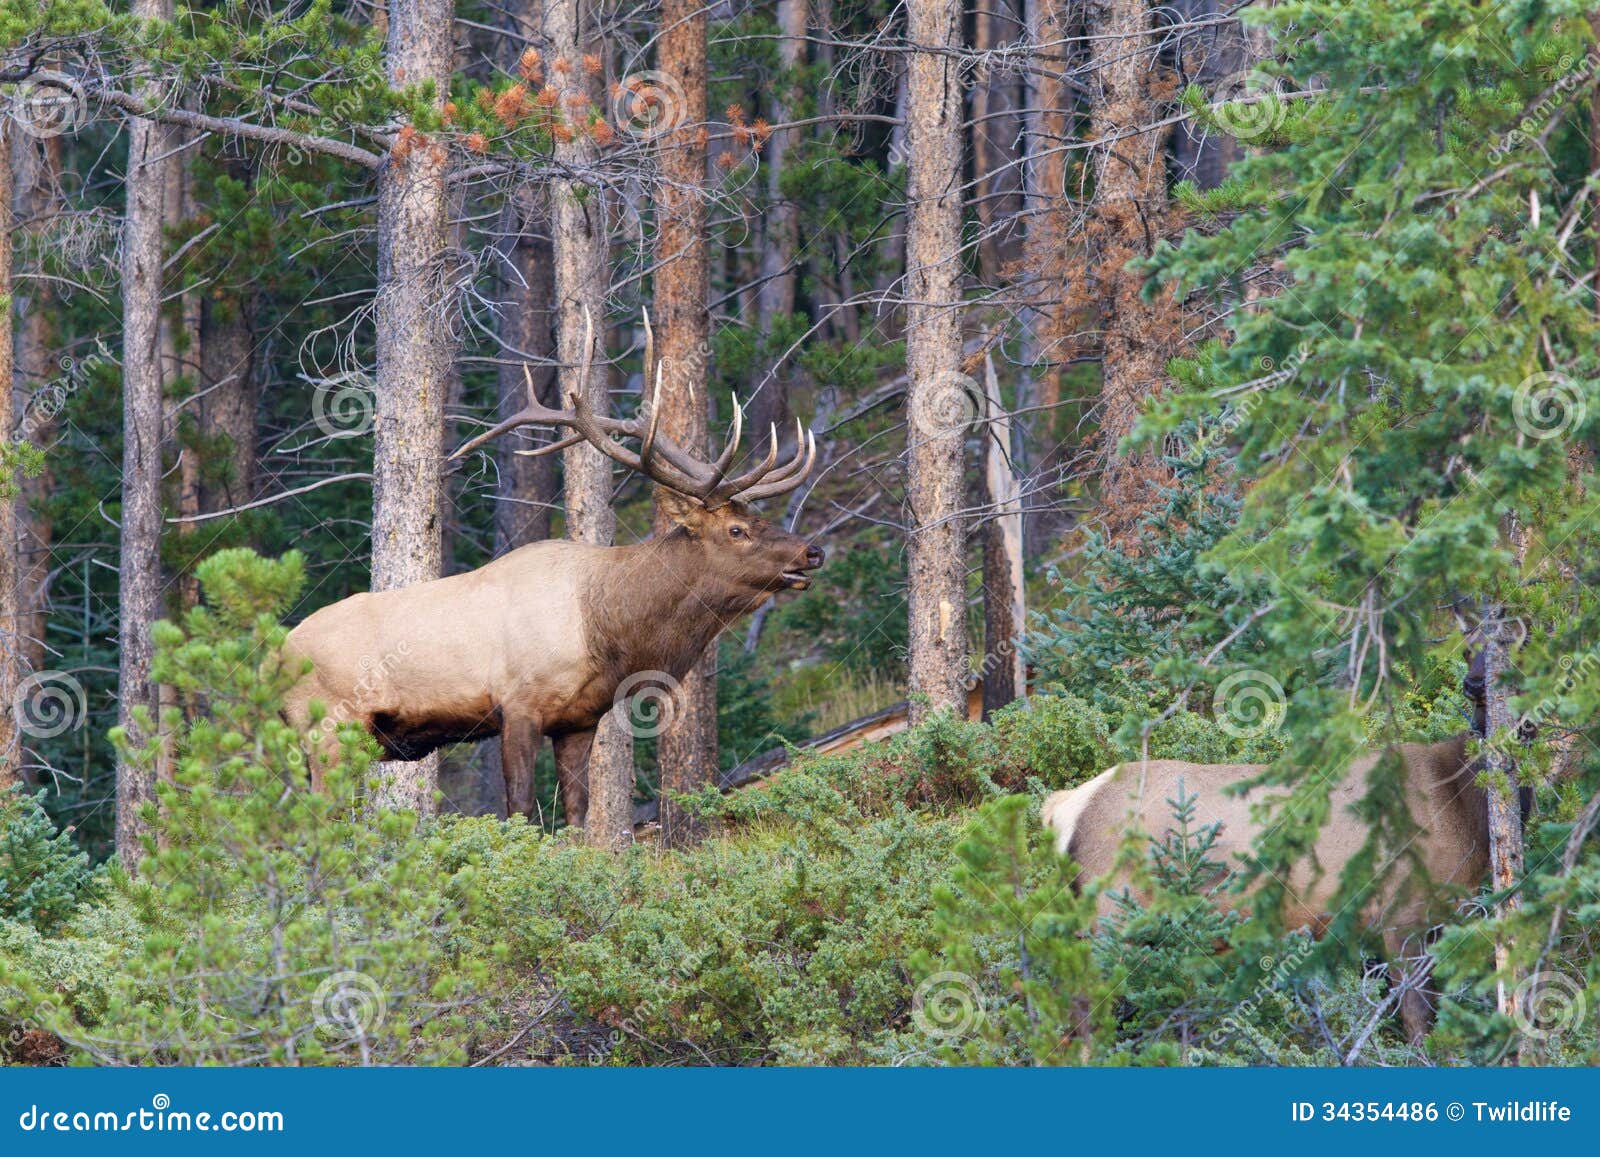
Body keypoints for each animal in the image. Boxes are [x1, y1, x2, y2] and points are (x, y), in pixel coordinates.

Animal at [283, 312, 824, 826]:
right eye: (736, 530)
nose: (812, 553)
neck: (609, 630)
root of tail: (277, 652)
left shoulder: (579, 720)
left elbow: (578, 815)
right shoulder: (518, 704)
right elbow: (520, 809)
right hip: (328, 726)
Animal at [1041, 737, 1490, 1043]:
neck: (1462, 809)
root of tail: (1062, 808)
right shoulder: (1402, 914)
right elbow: (1419, 1016)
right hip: (1111, 917)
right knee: (1084, 1010)